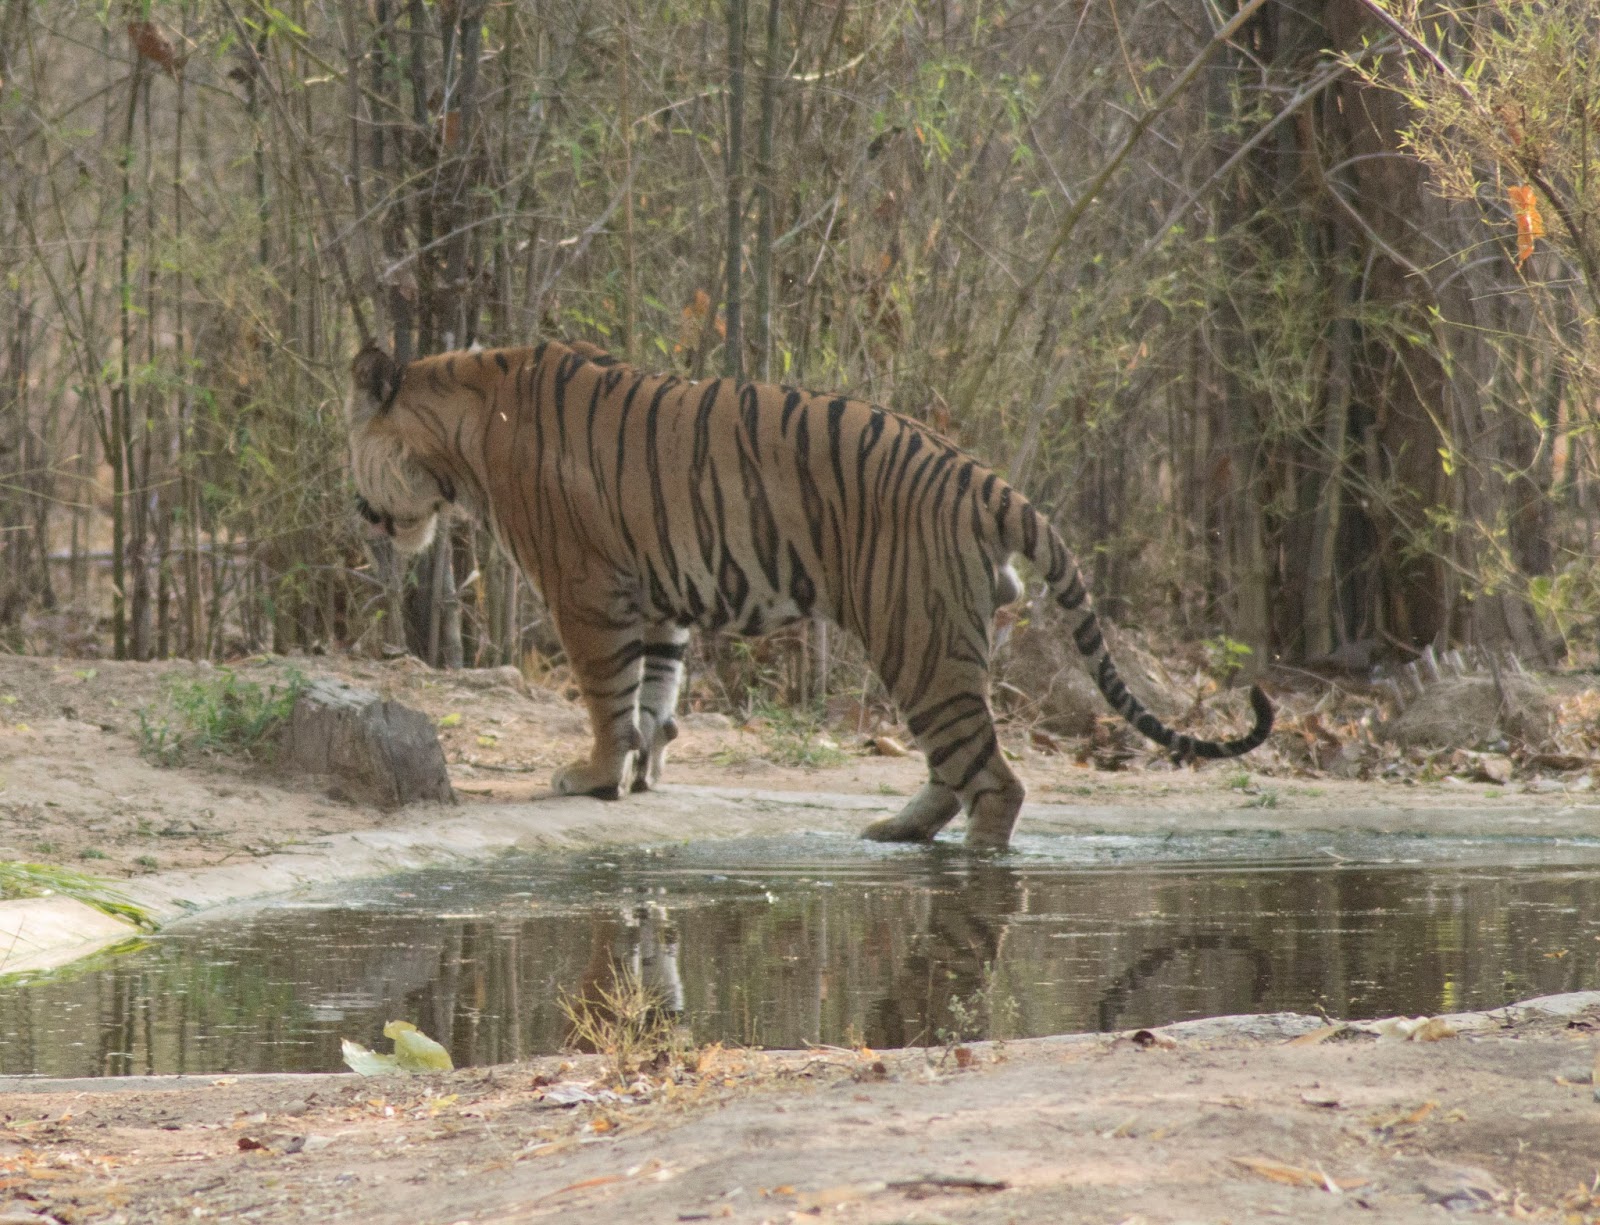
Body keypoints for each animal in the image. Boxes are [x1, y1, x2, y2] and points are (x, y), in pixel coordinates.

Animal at [345, 338, 1272, 848]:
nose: (357, 509)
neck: (458, 436)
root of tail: (980, 475)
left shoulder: (586, 587)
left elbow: (607, 694)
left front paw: (596, 774)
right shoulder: (656, 596)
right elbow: (656, 690)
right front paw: (643, 772)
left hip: (914, 630)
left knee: (994, 779)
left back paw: (970, 857)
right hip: (930, 638)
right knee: (956, 762)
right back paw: (895, 828)